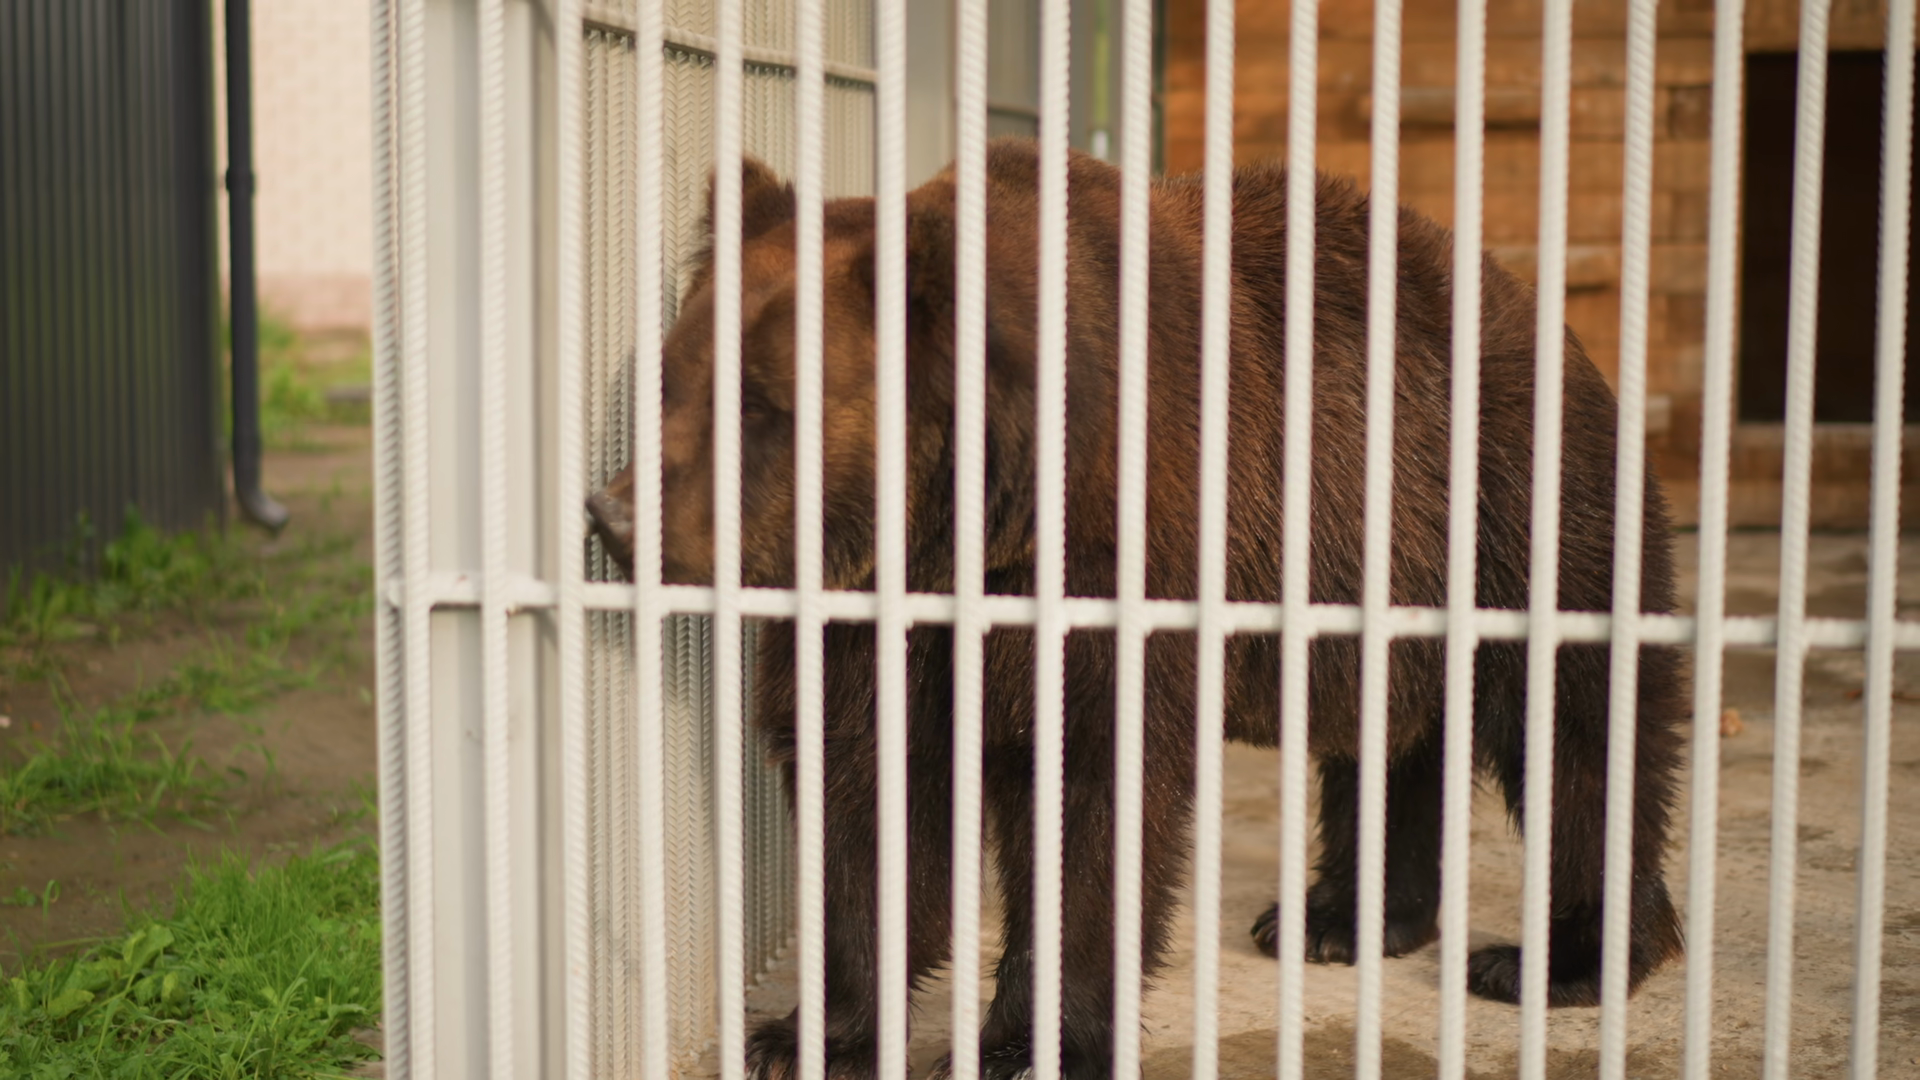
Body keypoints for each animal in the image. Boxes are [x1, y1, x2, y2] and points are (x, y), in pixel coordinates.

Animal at [586, 138, 1687, 1080]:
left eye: (760, 404)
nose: (614, 516)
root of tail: (1544, 316)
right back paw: (1340, 916)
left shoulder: (1119, 551)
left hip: (1513, 504)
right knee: (1391, 730)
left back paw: (1557, 957)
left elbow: (1092, 789)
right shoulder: (875, 619)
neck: (973, 520)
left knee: (1579, 726)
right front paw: (805, 1032)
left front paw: (1027, 1045)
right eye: (672, 378)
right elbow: (865, 790)